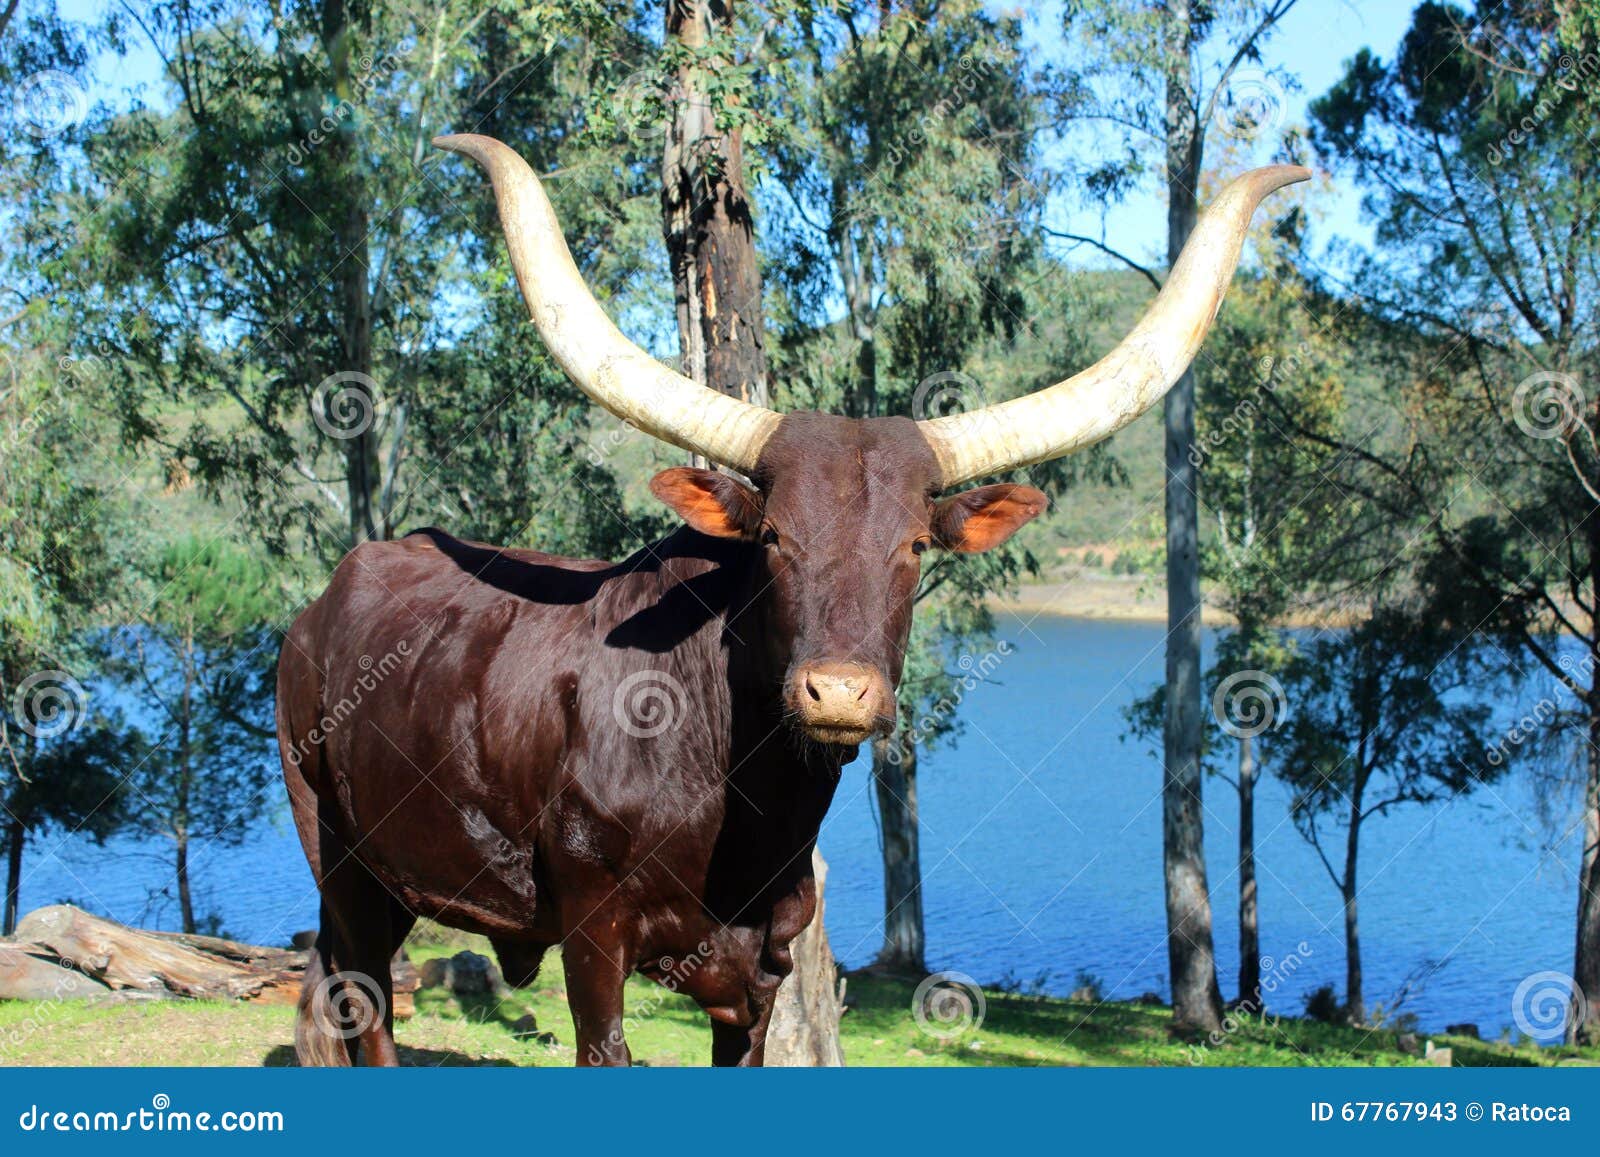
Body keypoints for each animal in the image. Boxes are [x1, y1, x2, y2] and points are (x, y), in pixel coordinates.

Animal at [276, 132, 1306, 1066]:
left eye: (915, 545)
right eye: (773, 537)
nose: (839, 692)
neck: (735, 794)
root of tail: (327, 599)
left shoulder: (761, 972)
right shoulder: (593, 940)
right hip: (338, 851)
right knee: (362, 1002)